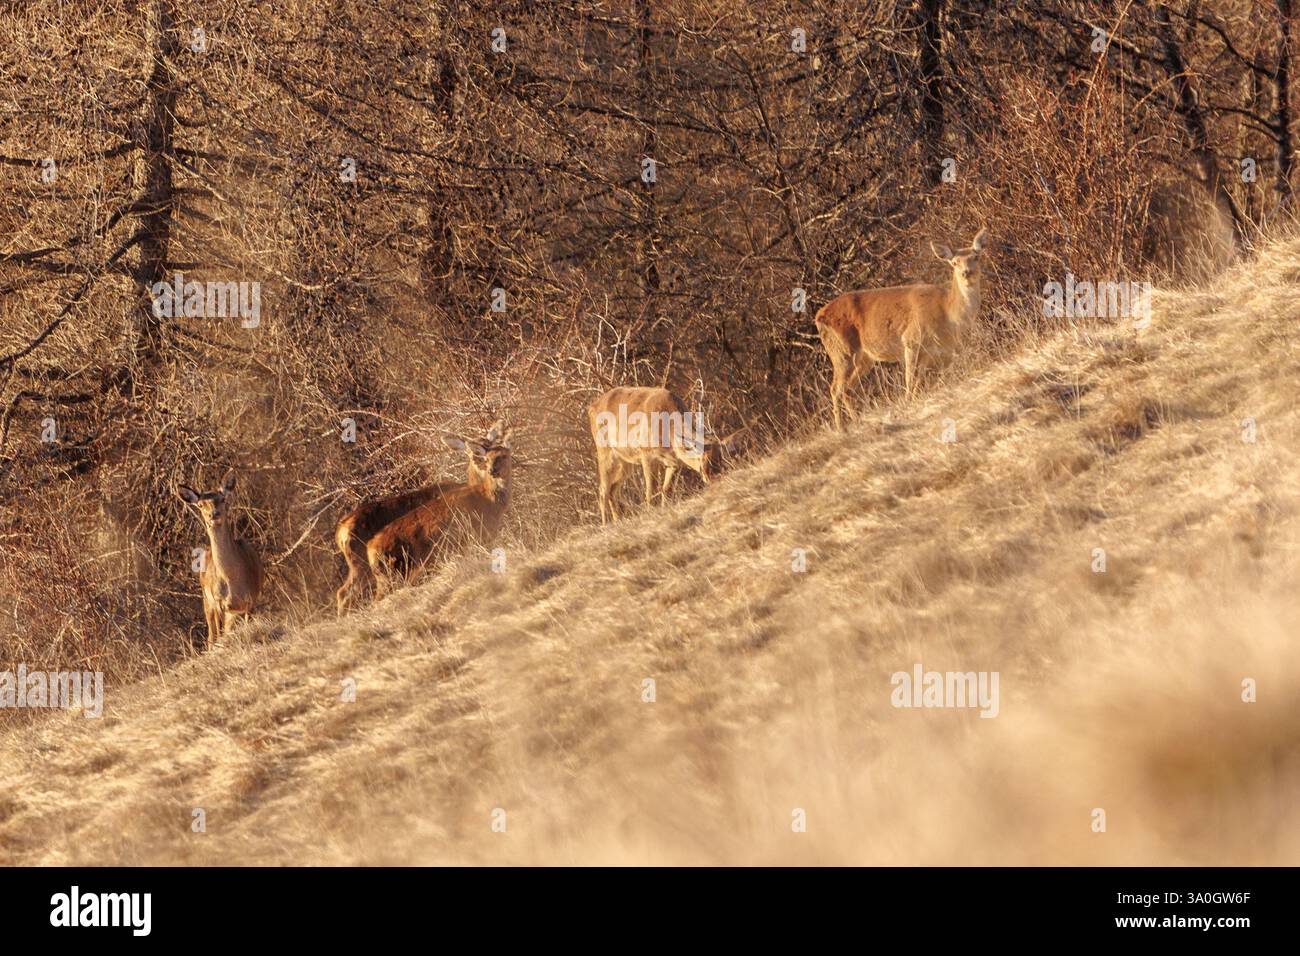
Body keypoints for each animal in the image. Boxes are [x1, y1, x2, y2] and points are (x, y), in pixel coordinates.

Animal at [177, 471, 264, 647]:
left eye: (223, 499)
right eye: (200, 504)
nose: (213, 514)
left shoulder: (251, 599)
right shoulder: (218, 603)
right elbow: (218, 637)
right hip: (206, 600)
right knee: (211, 637)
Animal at [334, 421, 512, 613]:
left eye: (488, 442)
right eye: (472, 454)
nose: (487, 467)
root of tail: (340, 532)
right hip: (365, 565)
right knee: (346, 593)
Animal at [588, 386, 743, 524]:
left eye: (722, 459)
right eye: (702, 461)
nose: (716, 481)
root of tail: (591, 407)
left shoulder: (674, 463)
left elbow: (666, 489)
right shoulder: (646, 453)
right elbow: (651, 490)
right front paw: (649, 514)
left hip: (625, 462)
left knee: (612, 489)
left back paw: (616, 521)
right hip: (604, 451)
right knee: (602, 490)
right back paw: (605, 525)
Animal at [815, 227, 989, 429]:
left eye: (976, 256)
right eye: (954, 262)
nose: (966, 273)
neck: (949, 316)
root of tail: (818, 316)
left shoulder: (934, 352)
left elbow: (919, 382)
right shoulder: (911, 339)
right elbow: (909, 380)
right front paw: (908, 405)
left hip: (864, 357)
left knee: (847, 389)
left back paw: (856, 422)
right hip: (841, 351)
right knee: (835, 388)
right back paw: (841, 428)